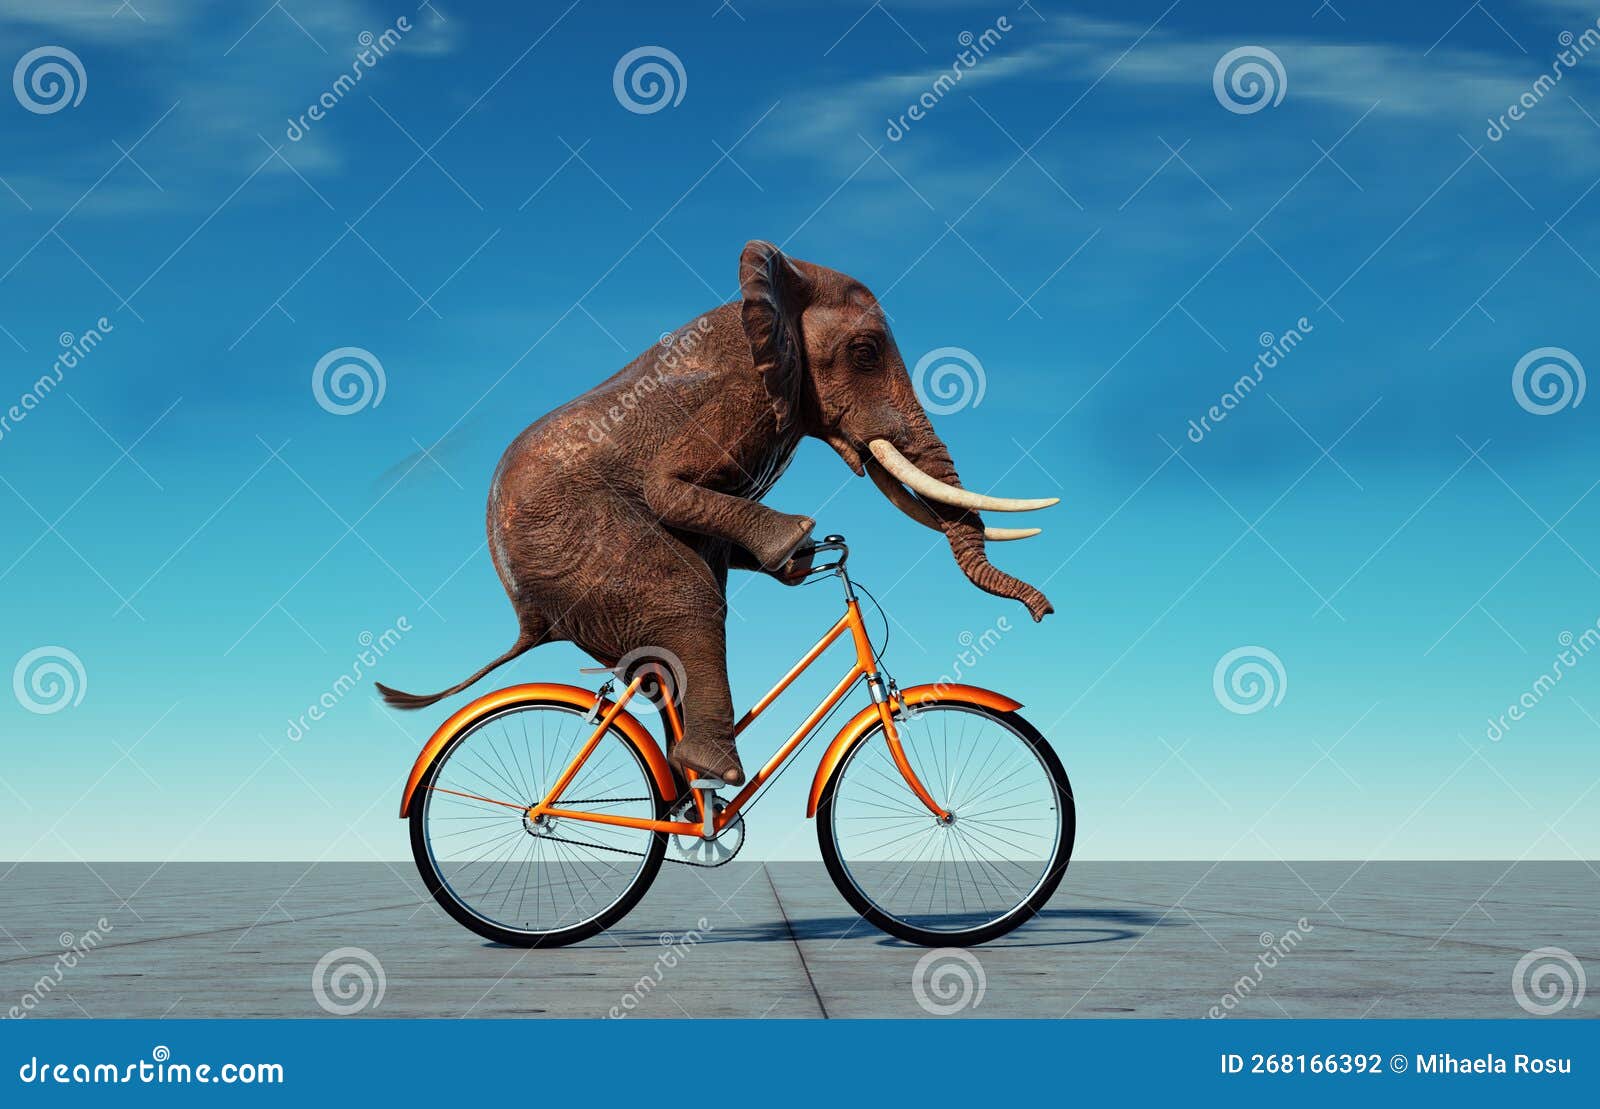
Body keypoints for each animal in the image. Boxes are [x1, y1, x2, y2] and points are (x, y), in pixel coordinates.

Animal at [377, 240, 1057, 787]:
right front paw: (797, 537)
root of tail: (528, 621)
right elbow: (664, 489)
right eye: (864, 352)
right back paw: (715, 776)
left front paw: (800, 559)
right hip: (577, 542)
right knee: (691, 601)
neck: (774, 292)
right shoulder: (731, 402)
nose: (1045, 613)